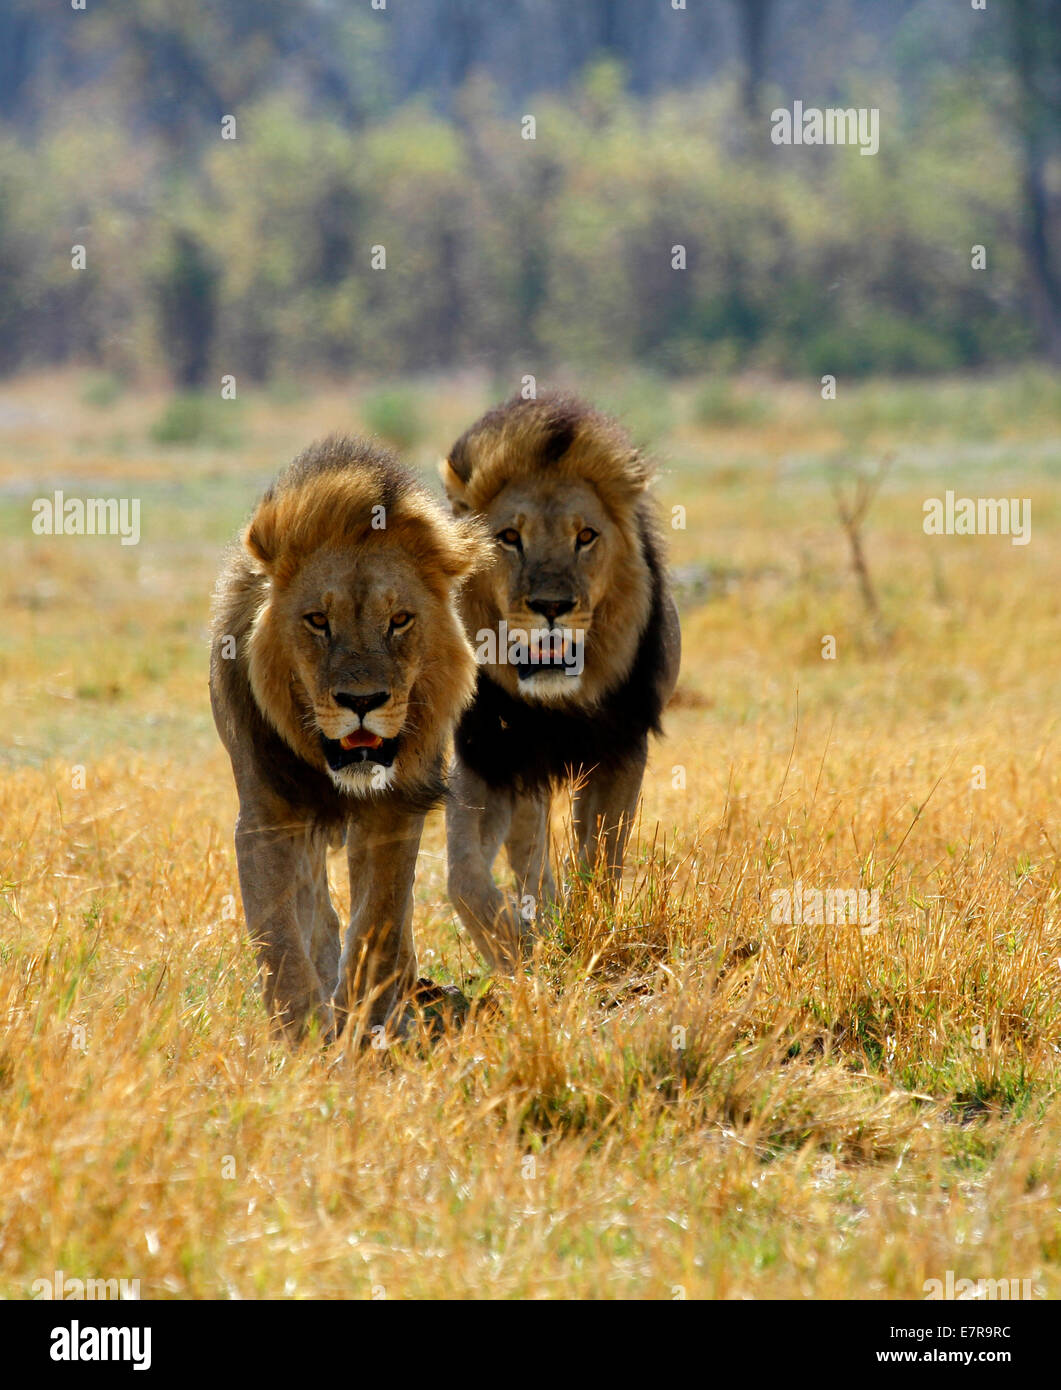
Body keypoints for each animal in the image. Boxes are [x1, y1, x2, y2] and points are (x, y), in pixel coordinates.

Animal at [209, 436, 490, 1043]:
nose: (362, 702)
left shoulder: (396, 809)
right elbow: (281, 936)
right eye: (318, 620)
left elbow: (378, 924)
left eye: (400, 620)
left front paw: (362, 1025)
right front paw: (302, 1035)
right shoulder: (267, 814)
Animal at [439, 393, 681, 971]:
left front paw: (585, 933)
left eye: (585, 536)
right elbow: (465, 878)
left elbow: (601, 859)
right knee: (528, 850)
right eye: (509, 537)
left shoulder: (622, 747)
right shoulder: (487, 752)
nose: (552, 606)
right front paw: (515, 953)